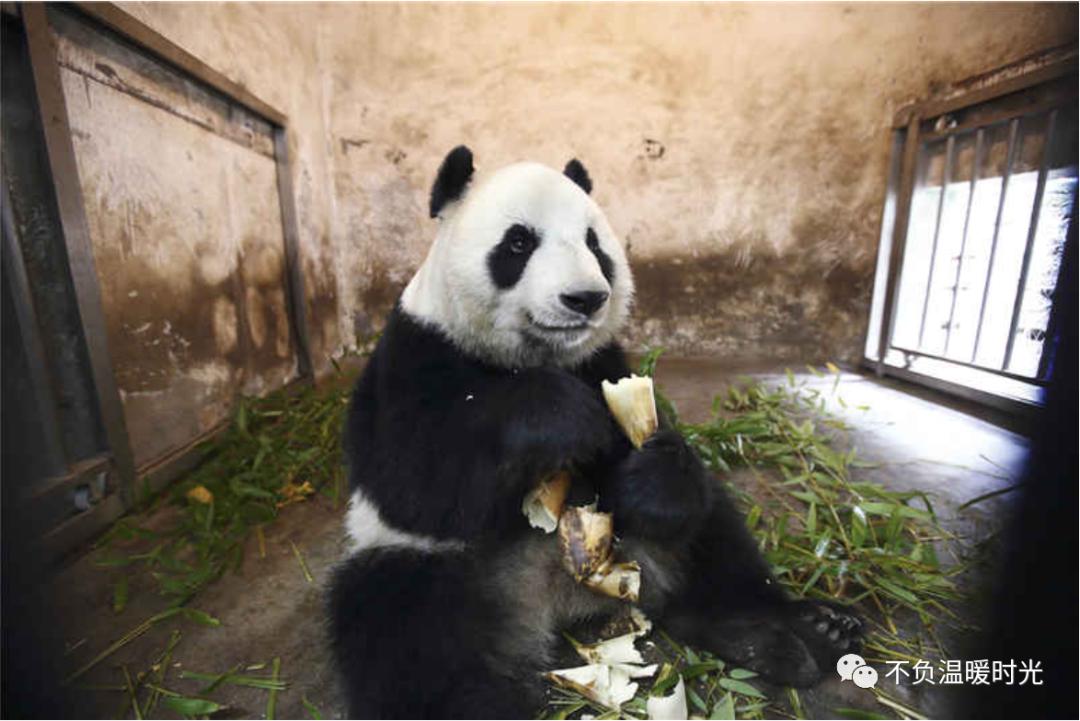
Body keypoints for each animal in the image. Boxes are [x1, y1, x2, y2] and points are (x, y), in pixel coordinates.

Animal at [328, 146, 862, 719]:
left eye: (594, 244)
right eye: (518, 242)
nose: (585, 298)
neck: (534, 357)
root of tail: (557, 598)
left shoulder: (602, 360)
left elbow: (636, 458)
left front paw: (650, 466)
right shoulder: (416, 352)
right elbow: (412, 478)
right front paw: (555, 414)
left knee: (714, 536)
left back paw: (794, 630)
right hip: (441, 569)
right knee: (406, 626)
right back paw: (481, 701)